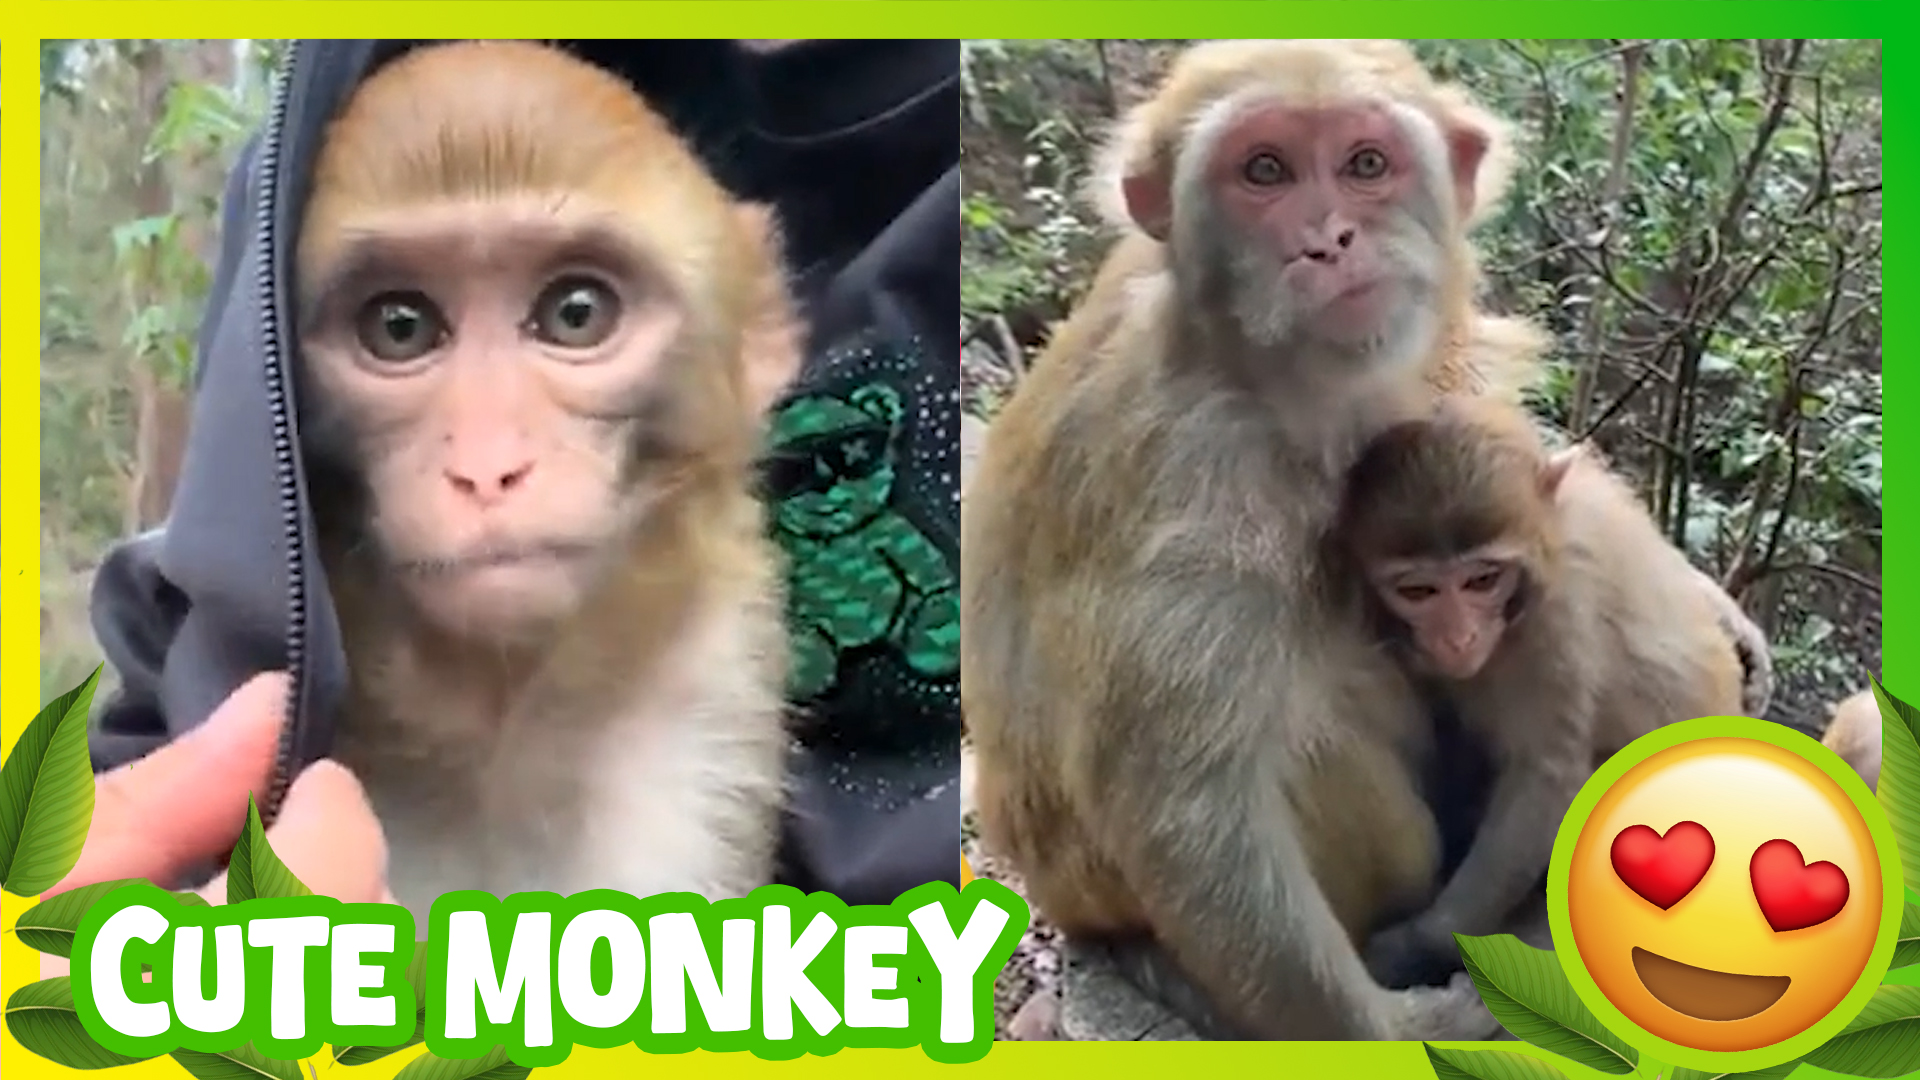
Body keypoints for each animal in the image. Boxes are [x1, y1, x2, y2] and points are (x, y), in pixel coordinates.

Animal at [962, 39, 1541, 1041]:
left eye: (1366, 164)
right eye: (1264, 172)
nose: (1328, 239)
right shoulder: (1191, 469)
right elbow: (1186, 813)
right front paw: (1401, 1035)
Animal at [1324, 398, 1748, 989]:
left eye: (1482, 580)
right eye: (1418, 590)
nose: (1459, 638)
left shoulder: (1558, 616)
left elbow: (1544, 775)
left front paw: (1417, 945)